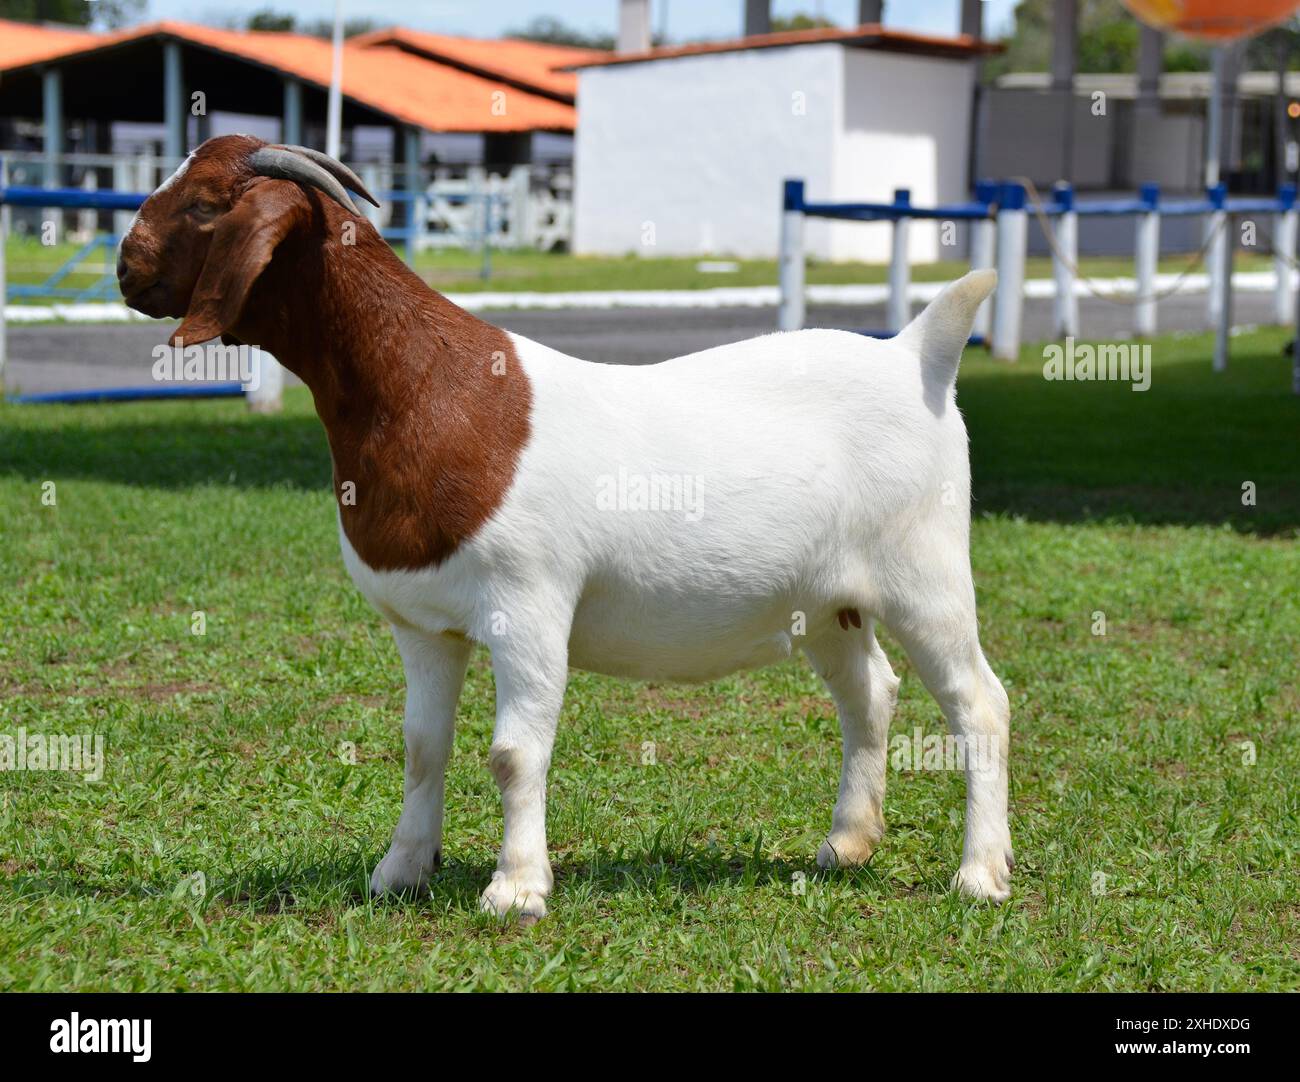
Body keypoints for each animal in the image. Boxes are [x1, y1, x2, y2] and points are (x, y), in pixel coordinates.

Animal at [119, 135, 1013, 921]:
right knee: (869, 695)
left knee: (979, 702)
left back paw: (980, 875)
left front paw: (515, 890)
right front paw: (400, 871)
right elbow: (421, 745)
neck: (429, 390)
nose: (125, 265)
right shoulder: (424, 625)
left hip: (926, 572)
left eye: (205, 204)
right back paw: (846, 845)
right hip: (830, 600)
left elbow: (514, 753)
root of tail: (914, 355)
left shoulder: (530, 607)